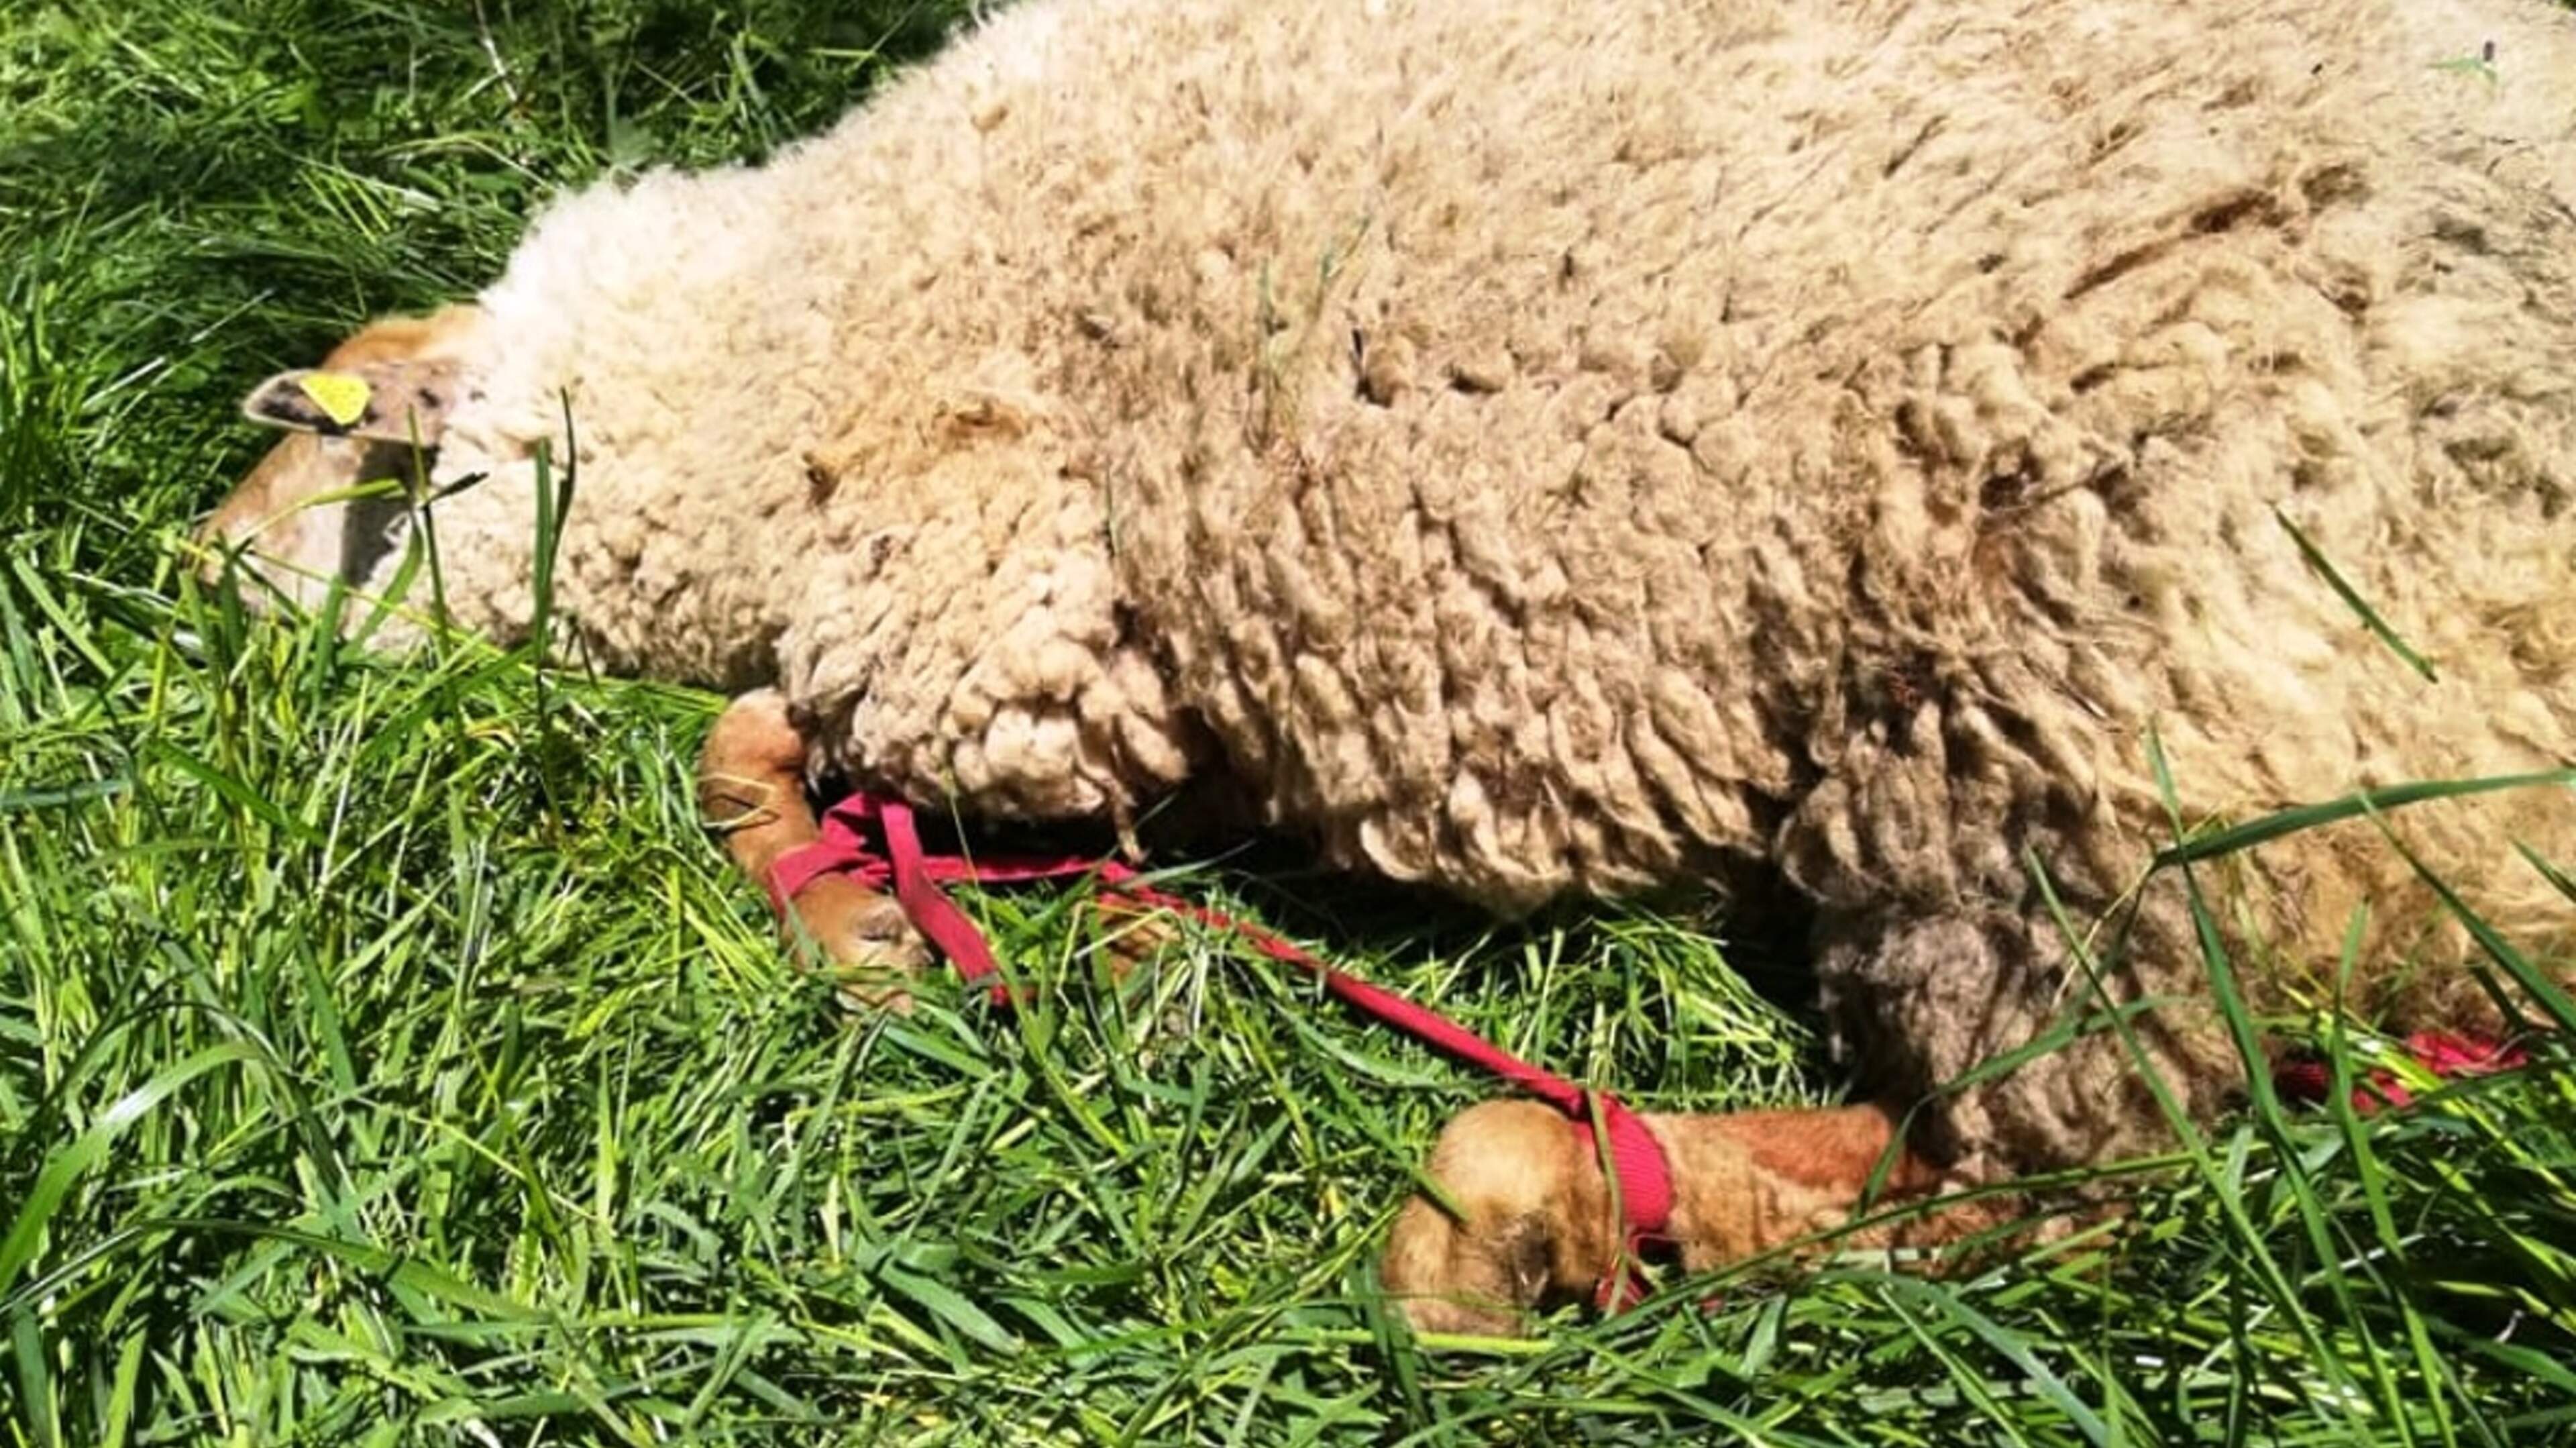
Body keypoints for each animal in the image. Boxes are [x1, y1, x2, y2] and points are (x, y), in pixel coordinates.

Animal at [201, 0, 2576, 1336]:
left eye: (338, 466)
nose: (185, 591)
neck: (803, 300)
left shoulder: (998, 608)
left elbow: (789, 716)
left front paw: (879, 900)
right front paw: (908, 900)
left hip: (2118, 715)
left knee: (2098, 1185)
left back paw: (1535, 1217)